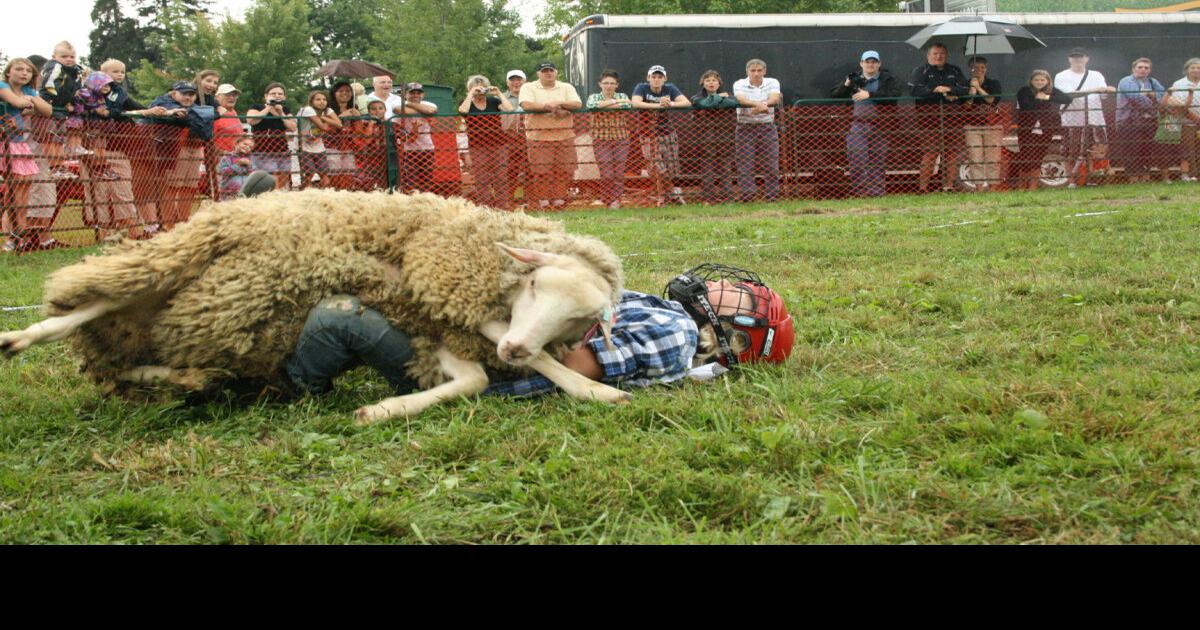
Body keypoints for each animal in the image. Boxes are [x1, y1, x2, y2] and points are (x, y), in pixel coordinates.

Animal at [0, 189, 631, 423]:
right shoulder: (434, 280)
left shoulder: (435, 328)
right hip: (177, 265)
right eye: (534, 285)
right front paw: (593, 389)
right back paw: (19, 338)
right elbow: (513, 358)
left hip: (178, 312)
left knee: (126, 357)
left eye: (579, 318)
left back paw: (179, 378)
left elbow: (472, 379)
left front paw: (383, 410)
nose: (516, 347)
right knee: (90, 302)